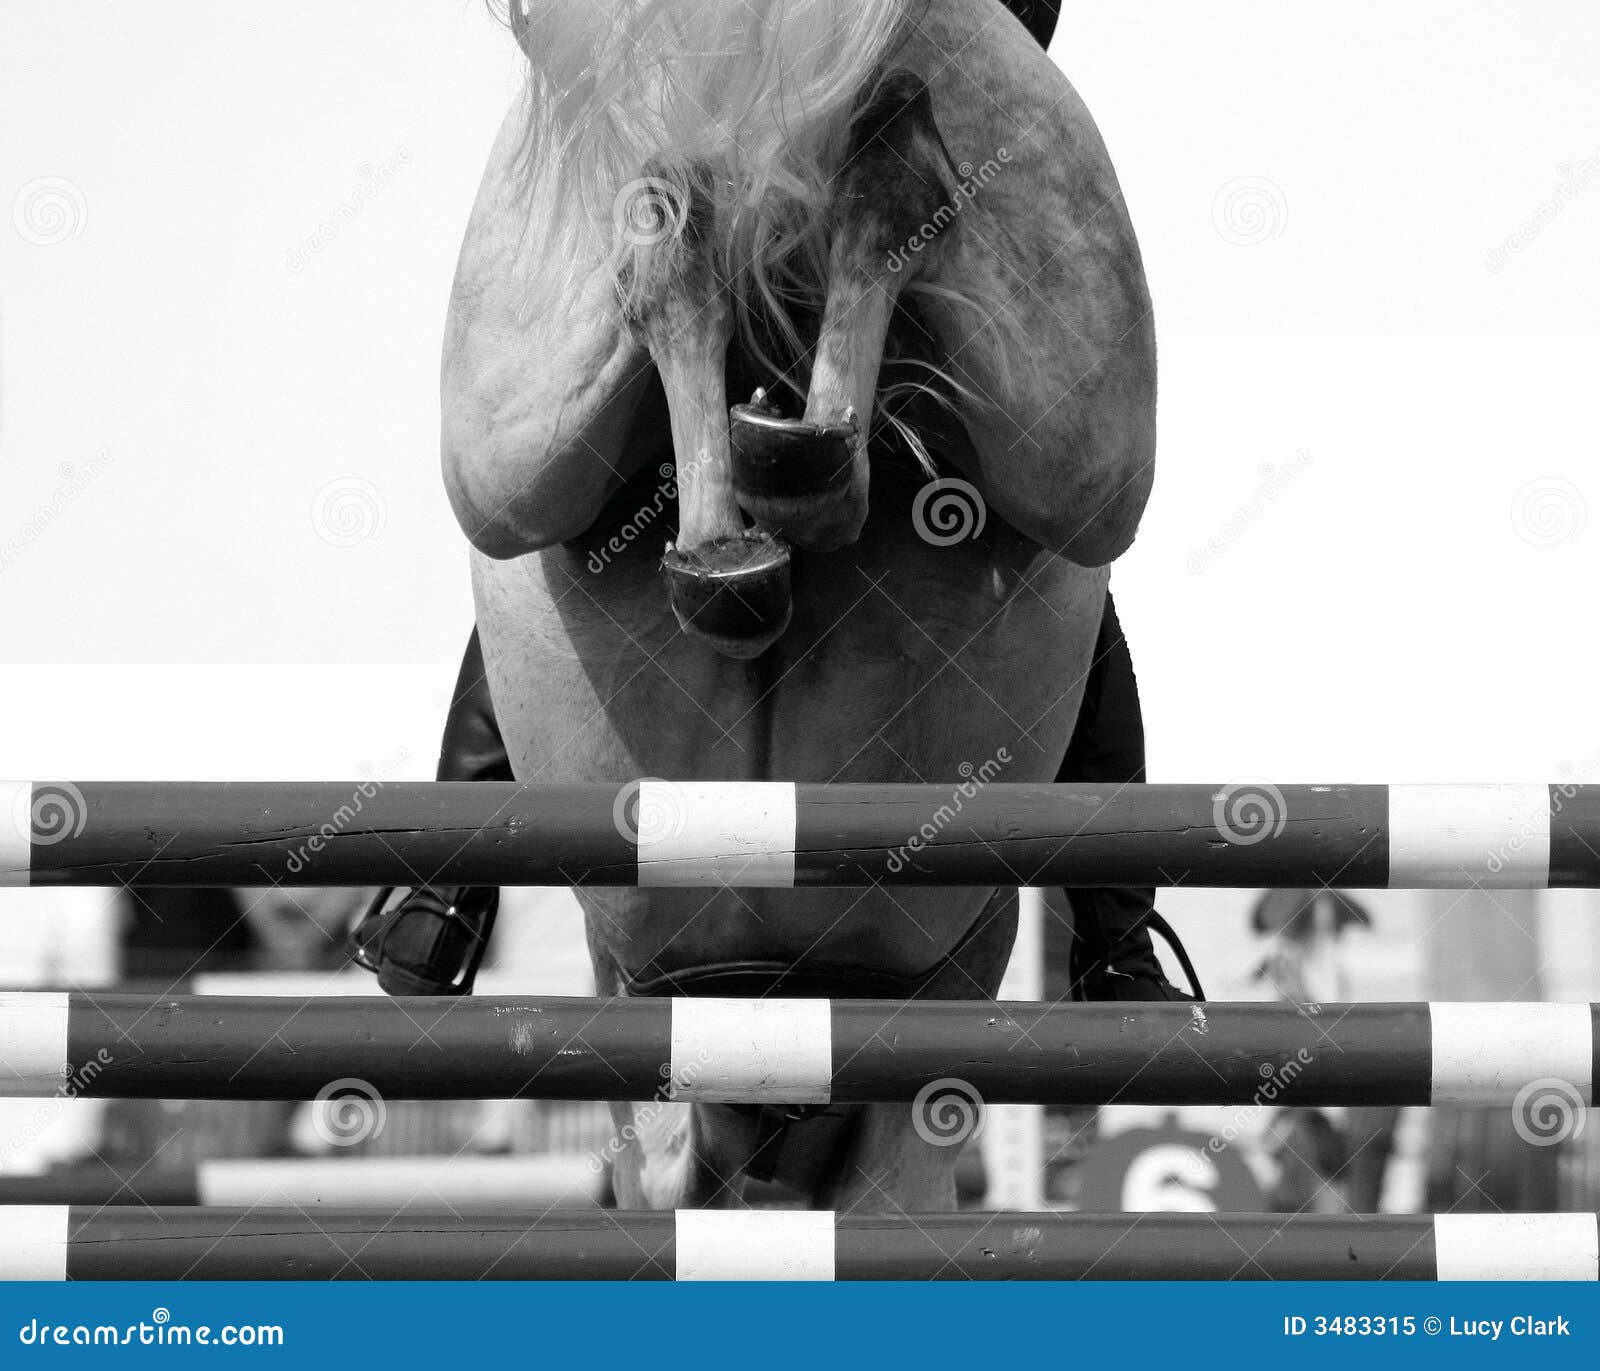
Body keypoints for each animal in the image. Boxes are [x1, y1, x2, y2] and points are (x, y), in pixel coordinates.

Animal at [446, 0, 1155, 1210]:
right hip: (1090, 447)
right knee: (711, 217)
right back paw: (782, 486)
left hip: (502, 437)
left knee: (675, 225)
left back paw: (748, 525)